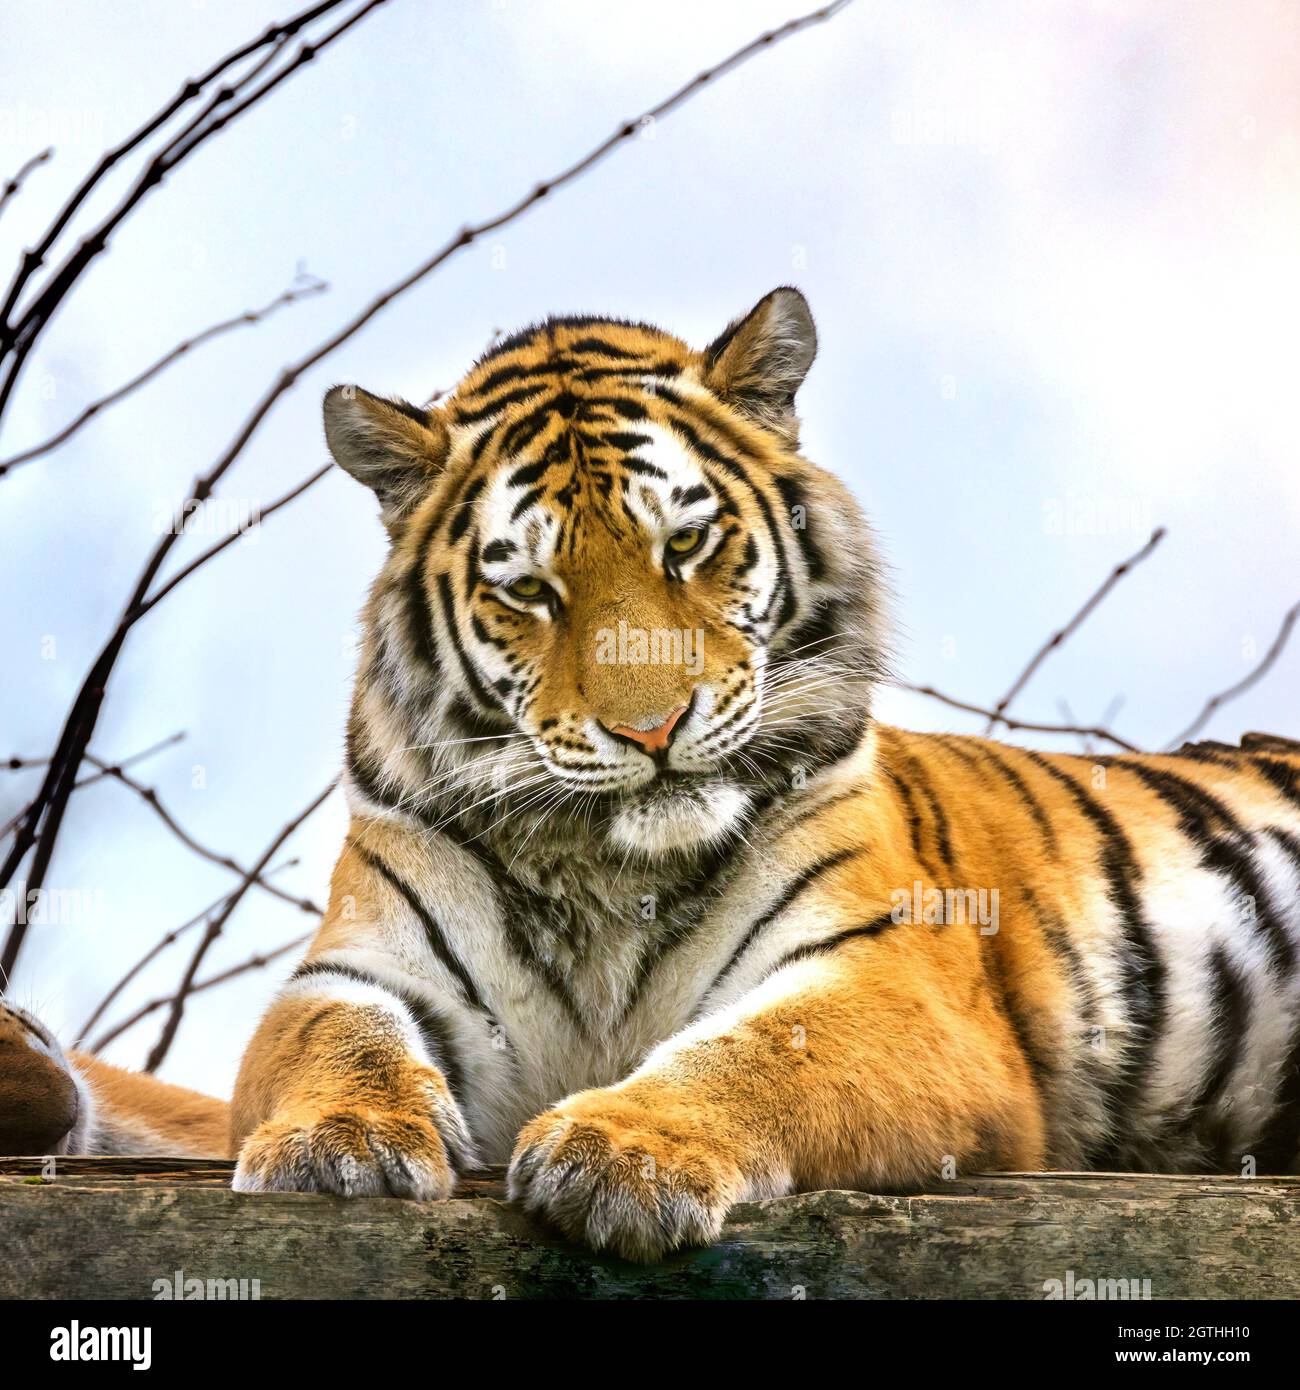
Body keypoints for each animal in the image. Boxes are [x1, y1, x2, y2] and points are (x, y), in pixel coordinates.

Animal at [5, 287, 1299, 1263]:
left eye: (687, 543)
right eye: (529, 588)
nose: (652, 726)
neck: (603, 871)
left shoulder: (882, 976)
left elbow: (760, 1051)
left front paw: (618, 1153)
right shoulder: (365, 963)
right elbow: (335, 1040)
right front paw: (338, 1142)